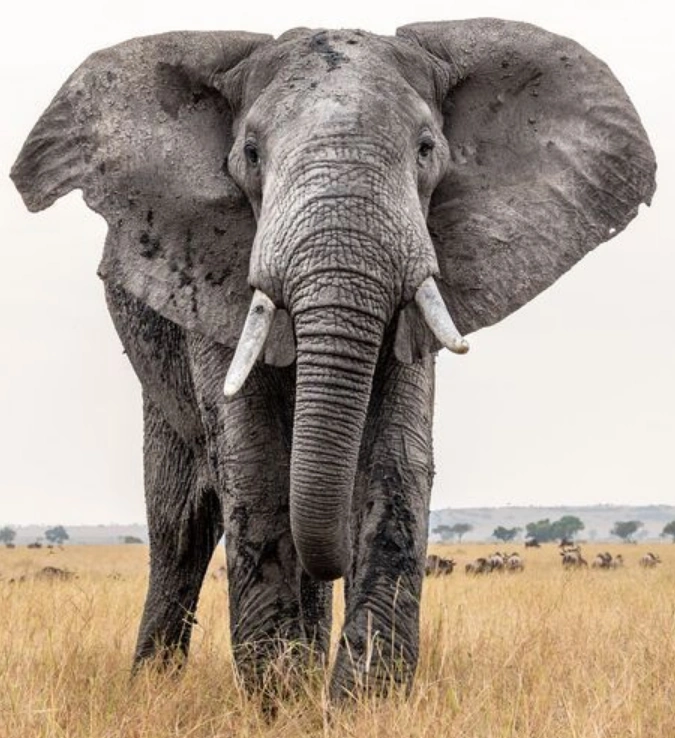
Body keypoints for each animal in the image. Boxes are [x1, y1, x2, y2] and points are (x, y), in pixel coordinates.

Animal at [11, 20, 655, 698]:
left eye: (426, 148)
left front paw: (360, 700)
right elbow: (255, 463)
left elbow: (396, 456)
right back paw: (156, 686)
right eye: (250, 154)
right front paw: (276, 698)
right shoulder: (211, 271)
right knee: (180, 525)